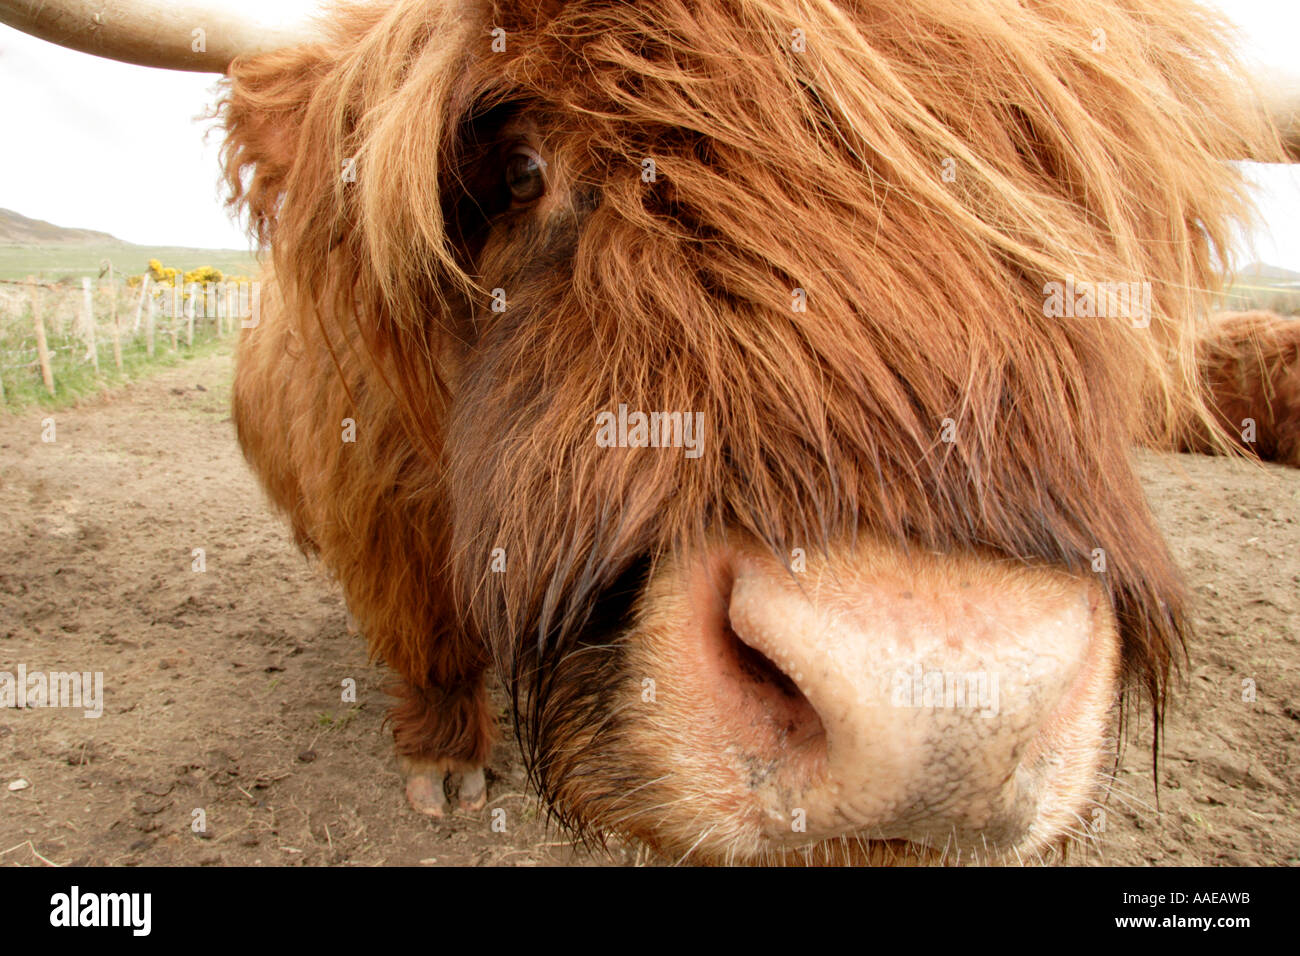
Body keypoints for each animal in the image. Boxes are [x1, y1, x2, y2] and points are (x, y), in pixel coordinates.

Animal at [4, 0, 1298, 865]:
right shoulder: (381, 508)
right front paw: (445, 763)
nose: (949, 715)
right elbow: (427, 632)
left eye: (1069, 194)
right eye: (517, 165)